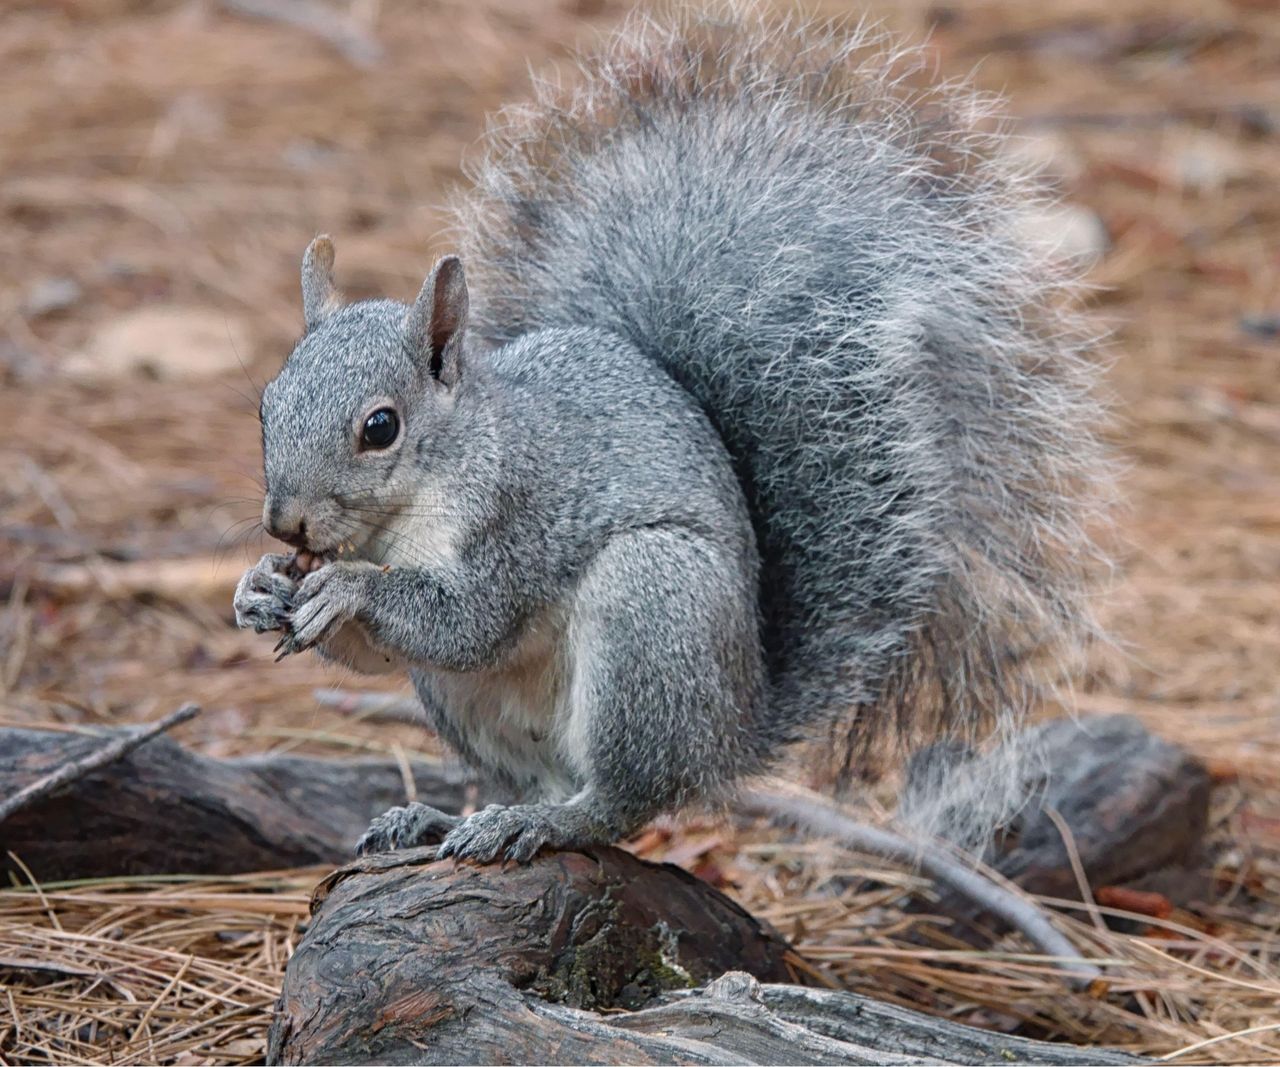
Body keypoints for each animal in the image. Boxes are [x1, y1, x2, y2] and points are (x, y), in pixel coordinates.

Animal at [233, 7, 1109, 870]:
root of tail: (736, 727)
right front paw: (258, 589)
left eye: (380, 427)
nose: (285, 523)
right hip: (474, 704)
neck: (410, 505)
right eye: (266, 405)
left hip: (653, 610)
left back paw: (545, 823)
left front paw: (350, 589)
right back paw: (445, 818)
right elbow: (387, 652)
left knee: (624, 798)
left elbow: (466, 621)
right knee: (537, 775)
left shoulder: (516, 520)